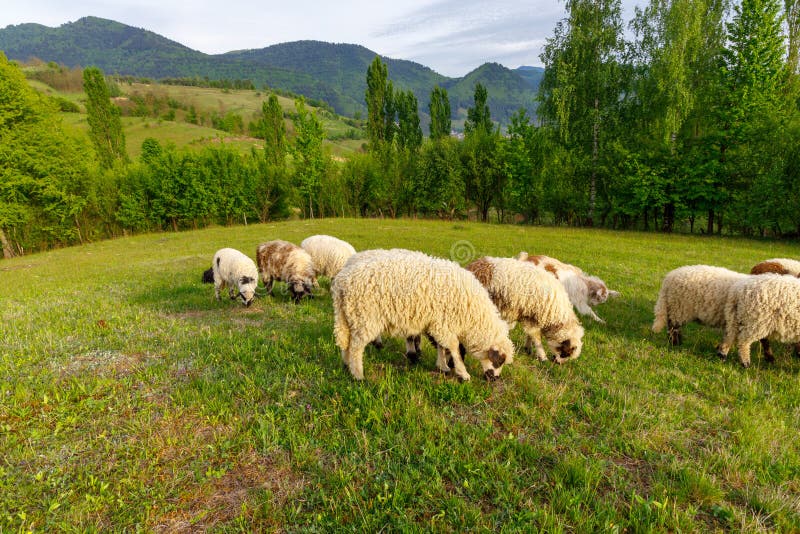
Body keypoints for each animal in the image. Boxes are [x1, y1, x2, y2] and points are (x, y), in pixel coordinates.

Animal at [332, 250, 515, 382]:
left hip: (350, 316)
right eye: (499, 361)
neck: (472, 314)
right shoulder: (444, 323)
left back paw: (347, 365)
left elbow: (442, 346)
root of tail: (341, 282)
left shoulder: (439, 323)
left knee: (347, 343)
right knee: (356, 347)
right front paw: (462, 373)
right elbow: (454, 347)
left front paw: (443, 367)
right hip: (365, 318)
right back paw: (358, 375)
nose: (494, 379)